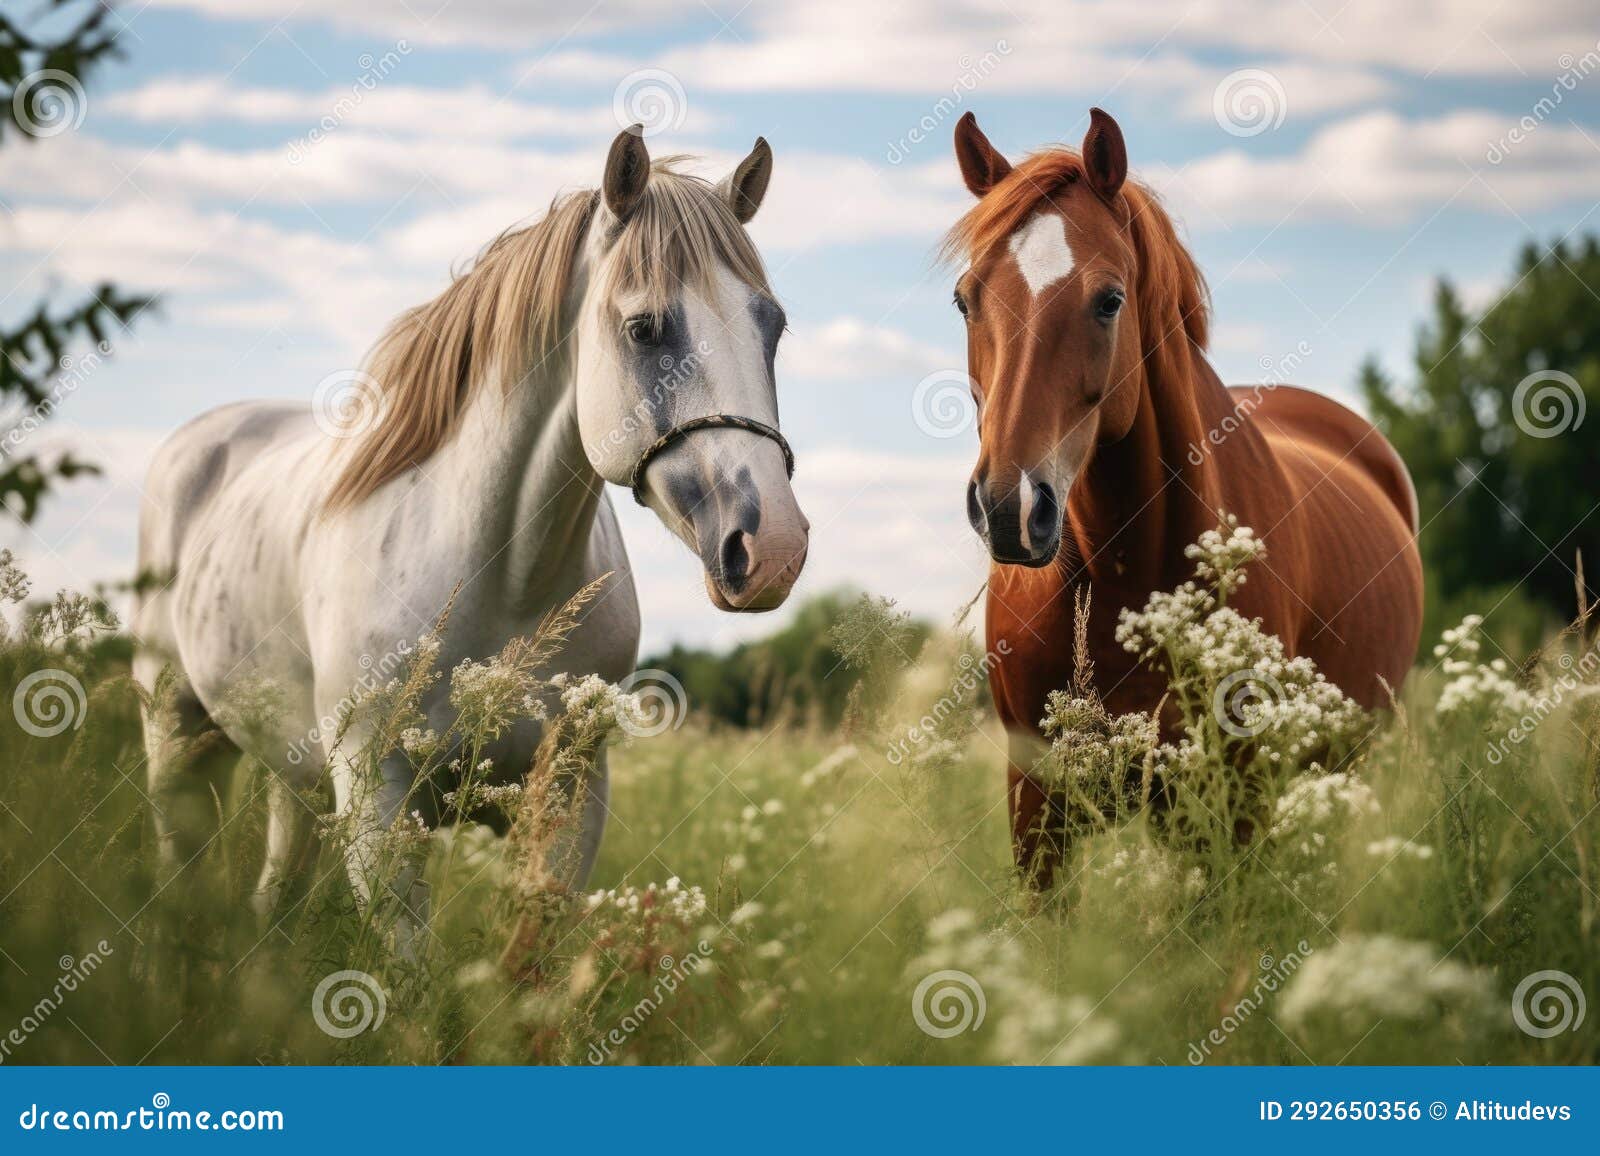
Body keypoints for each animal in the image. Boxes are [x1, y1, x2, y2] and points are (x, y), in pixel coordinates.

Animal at [132, 127, 809, 945]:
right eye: (645, 328)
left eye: (772, 326)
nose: (773, 548)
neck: (501, 579)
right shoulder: (381, 802)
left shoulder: (573, 795)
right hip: (177, 742)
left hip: (290, 776)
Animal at [942, 109, 1423, 886]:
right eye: (965, 300)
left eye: (1110, 301)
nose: (1011, 508)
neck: (1120, 581)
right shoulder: (1036, 812)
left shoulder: (1234, 808)